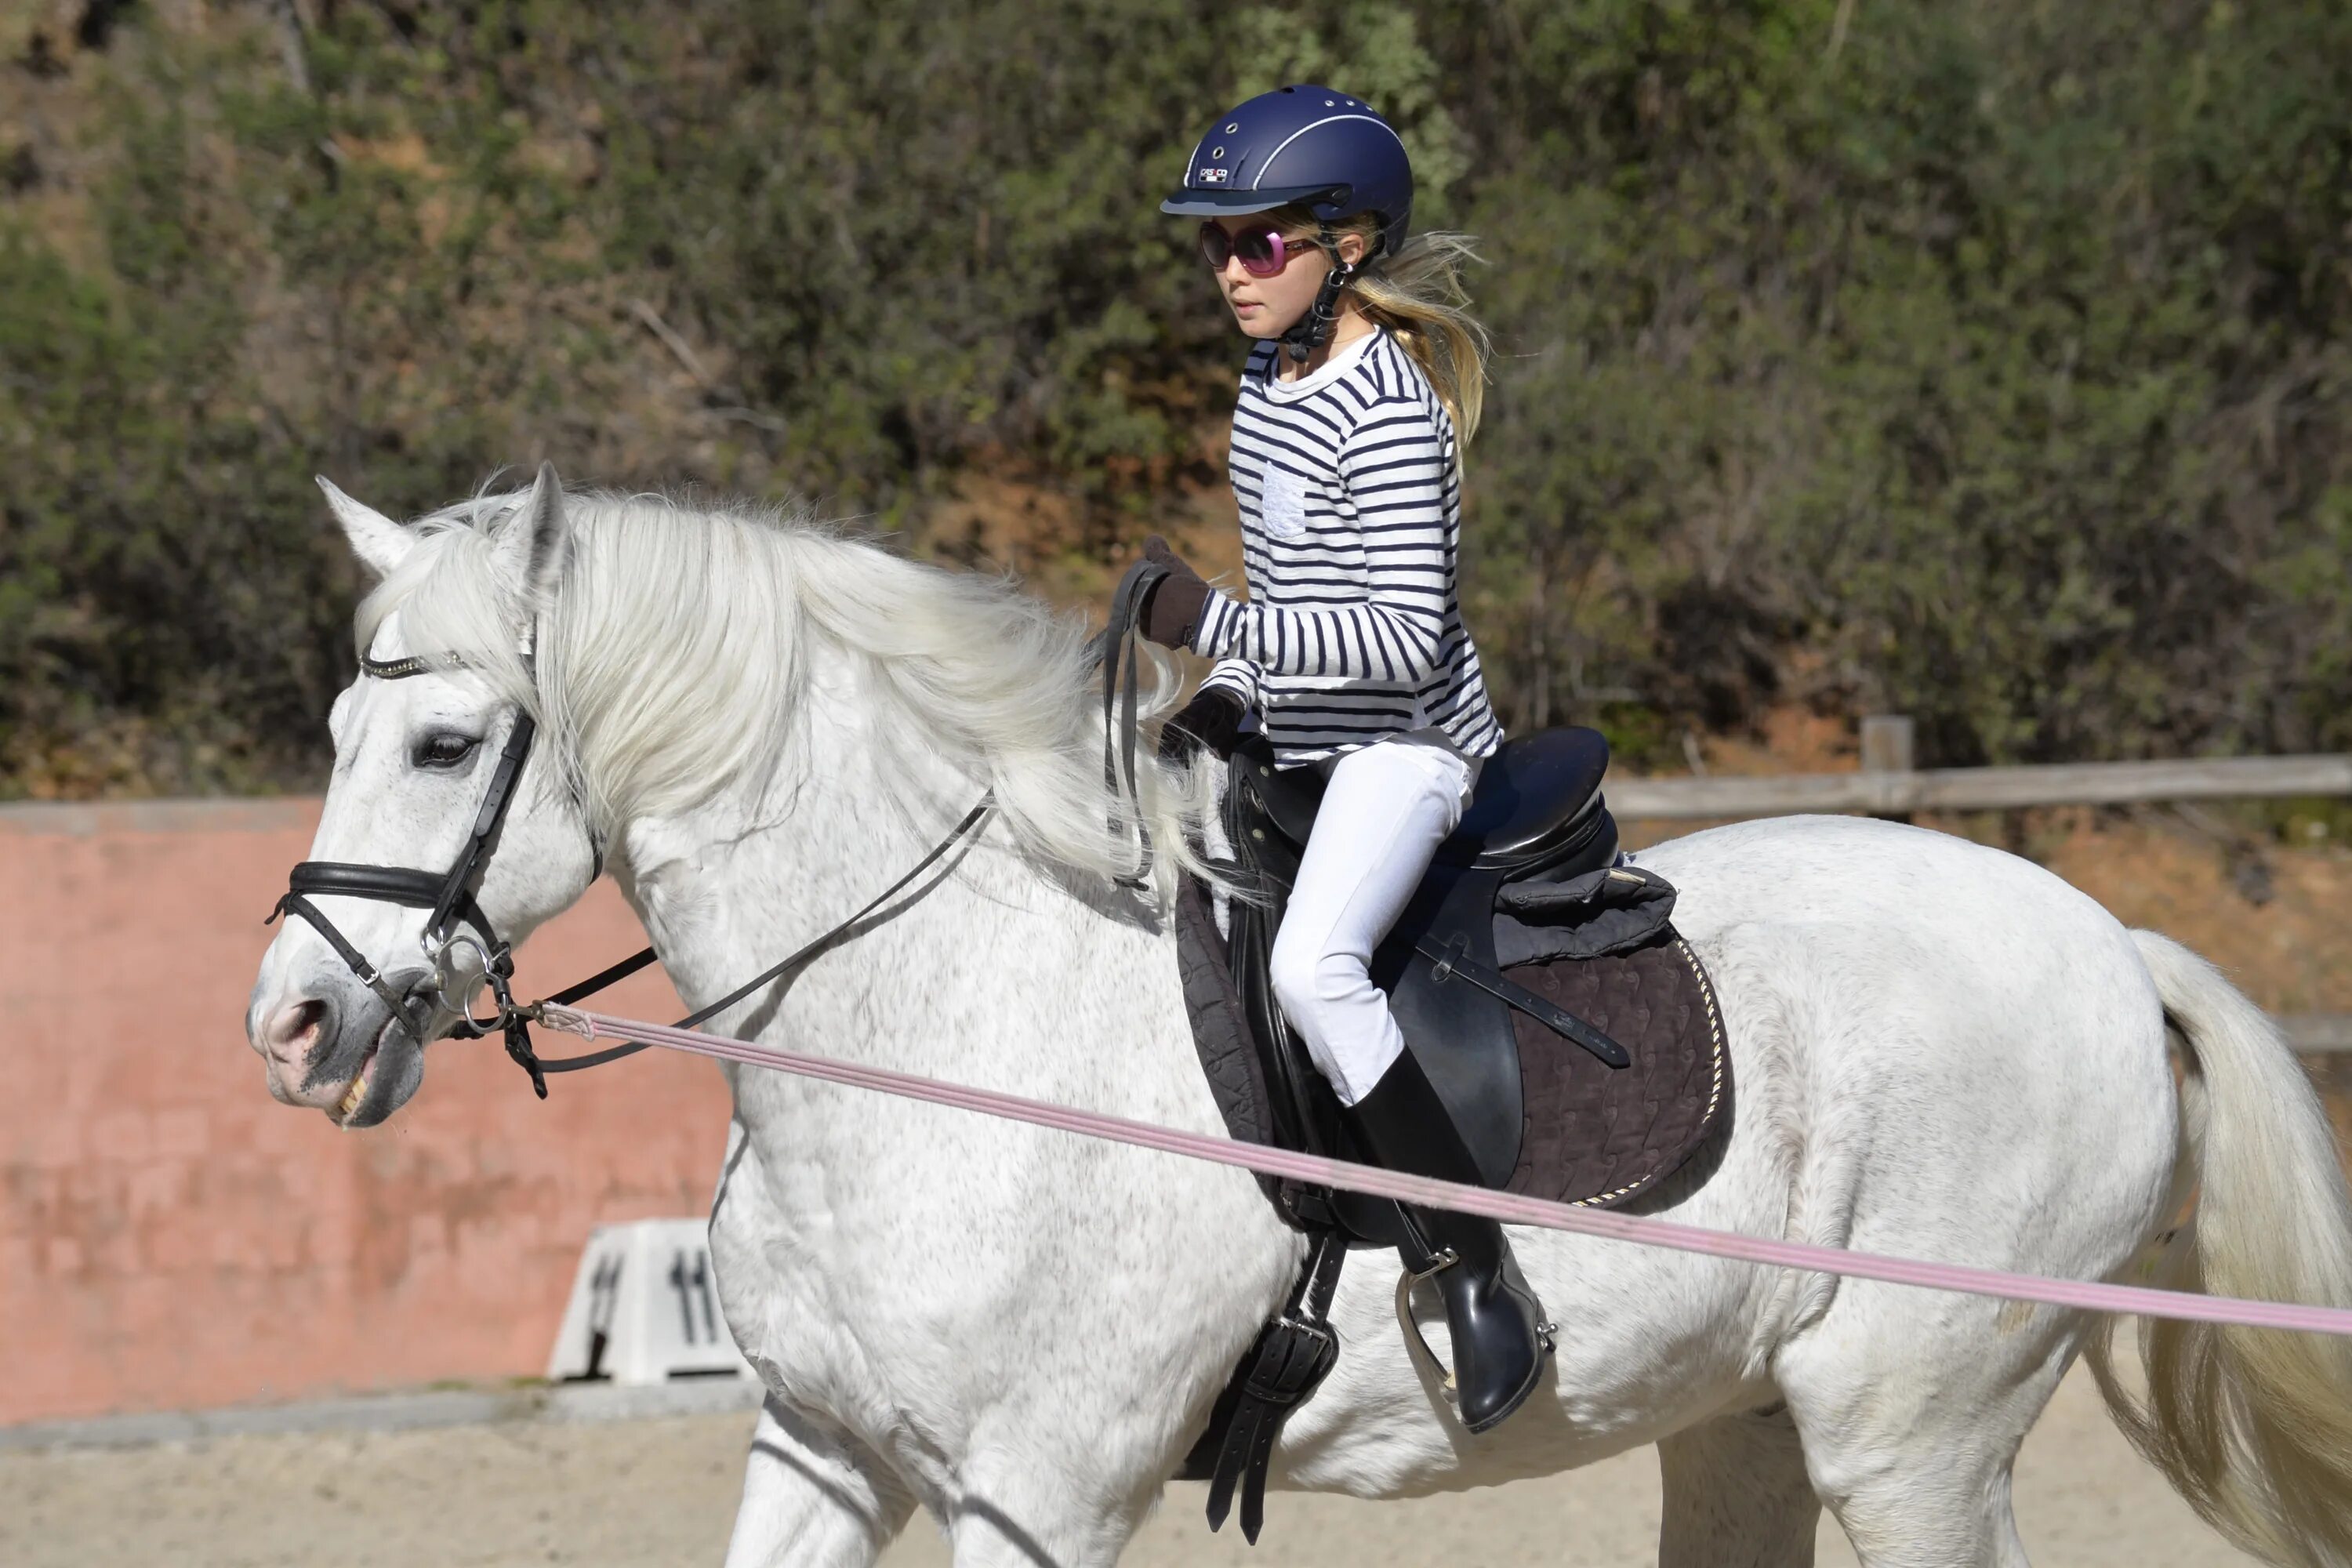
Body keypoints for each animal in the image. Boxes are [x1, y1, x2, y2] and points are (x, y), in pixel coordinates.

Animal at [243, 472, 2352, 1568]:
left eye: (445, 742)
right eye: (342, 725)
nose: (290, 1023)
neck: (937, 1013)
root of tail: (2106, 936)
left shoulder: (1039, 1490)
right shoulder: (822, 1452)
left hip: (1910, 1434)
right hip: (1745, 1421)